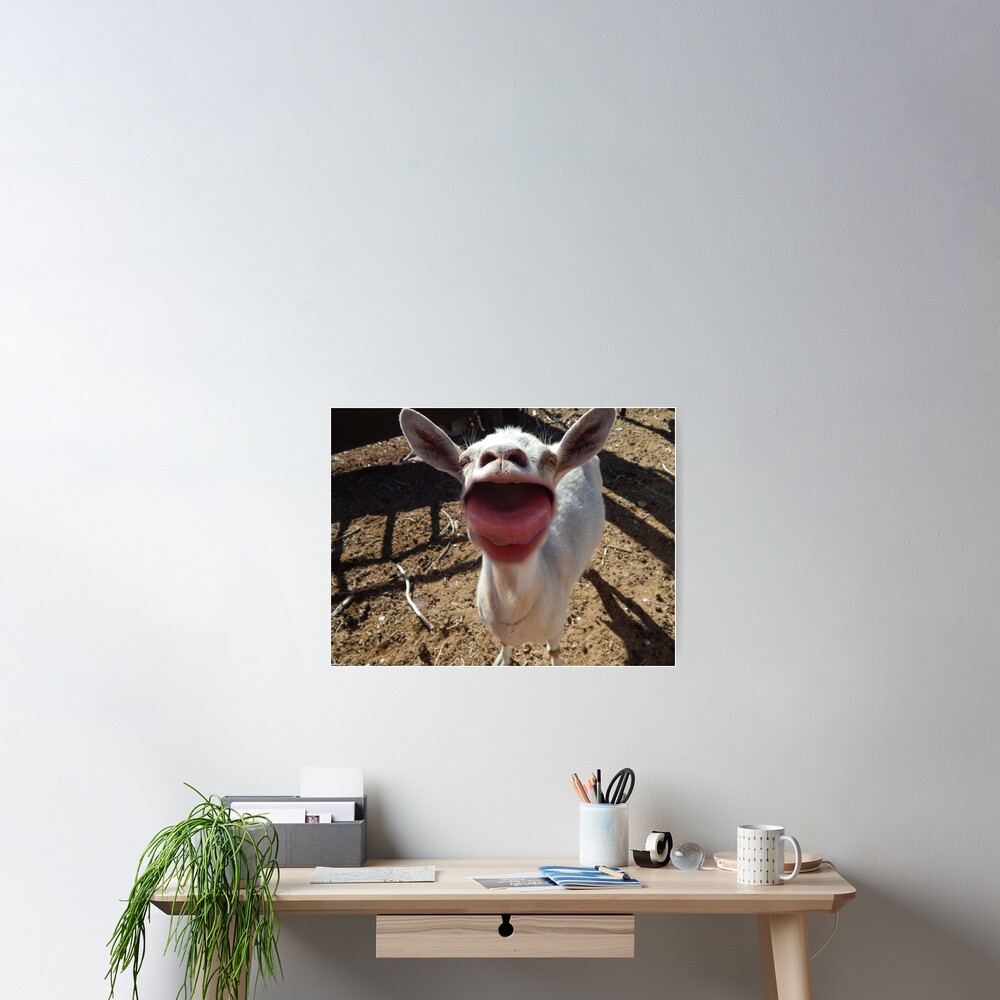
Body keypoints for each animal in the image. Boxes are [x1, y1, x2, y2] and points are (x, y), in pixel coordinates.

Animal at [398, 408, 617, 665]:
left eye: (550, 460)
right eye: (464, 460)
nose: (502, 455)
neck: (514, 607)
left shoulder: (556, 627)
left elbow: (554, 651)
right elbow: (505, 645)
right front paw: (502, 660)